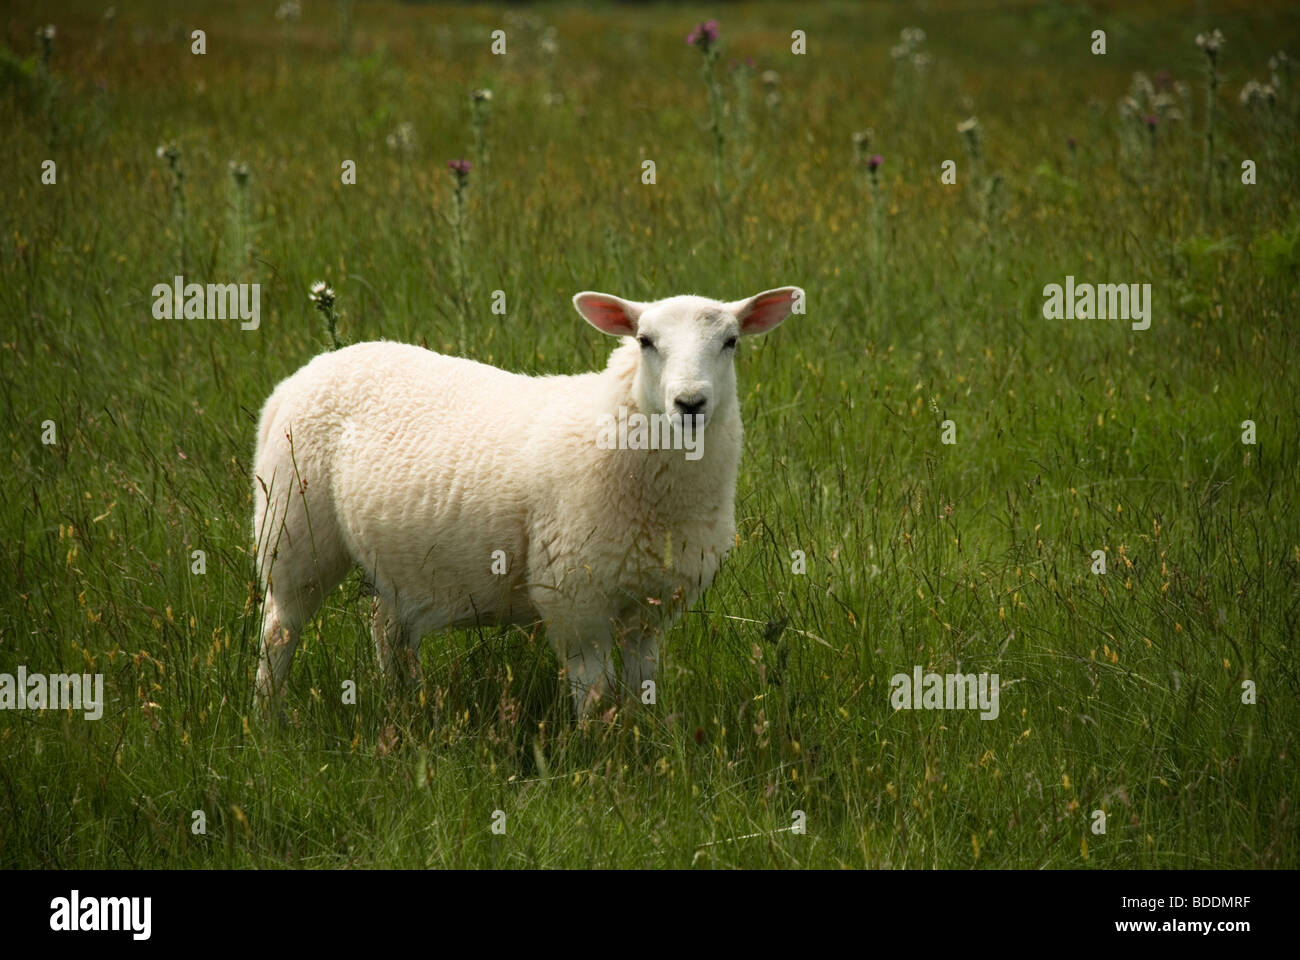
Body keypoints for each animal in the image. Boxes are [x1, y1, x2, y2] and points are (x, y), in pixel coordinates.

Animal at [251, 286, 802, 715]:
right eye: (645, 342)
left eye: (731, 342)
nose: (690, 404)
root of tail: (303, 374)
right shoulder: (575, 600)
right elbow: (595, 698)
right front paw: (597, 764)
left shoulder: (653, 608)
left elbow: (641, 692)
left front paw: (642, 748)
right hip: (293, 528)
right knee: (280, 629)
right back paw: (268, 719)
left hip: (399, 558)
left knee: (387, 631)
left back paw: (407, 708)